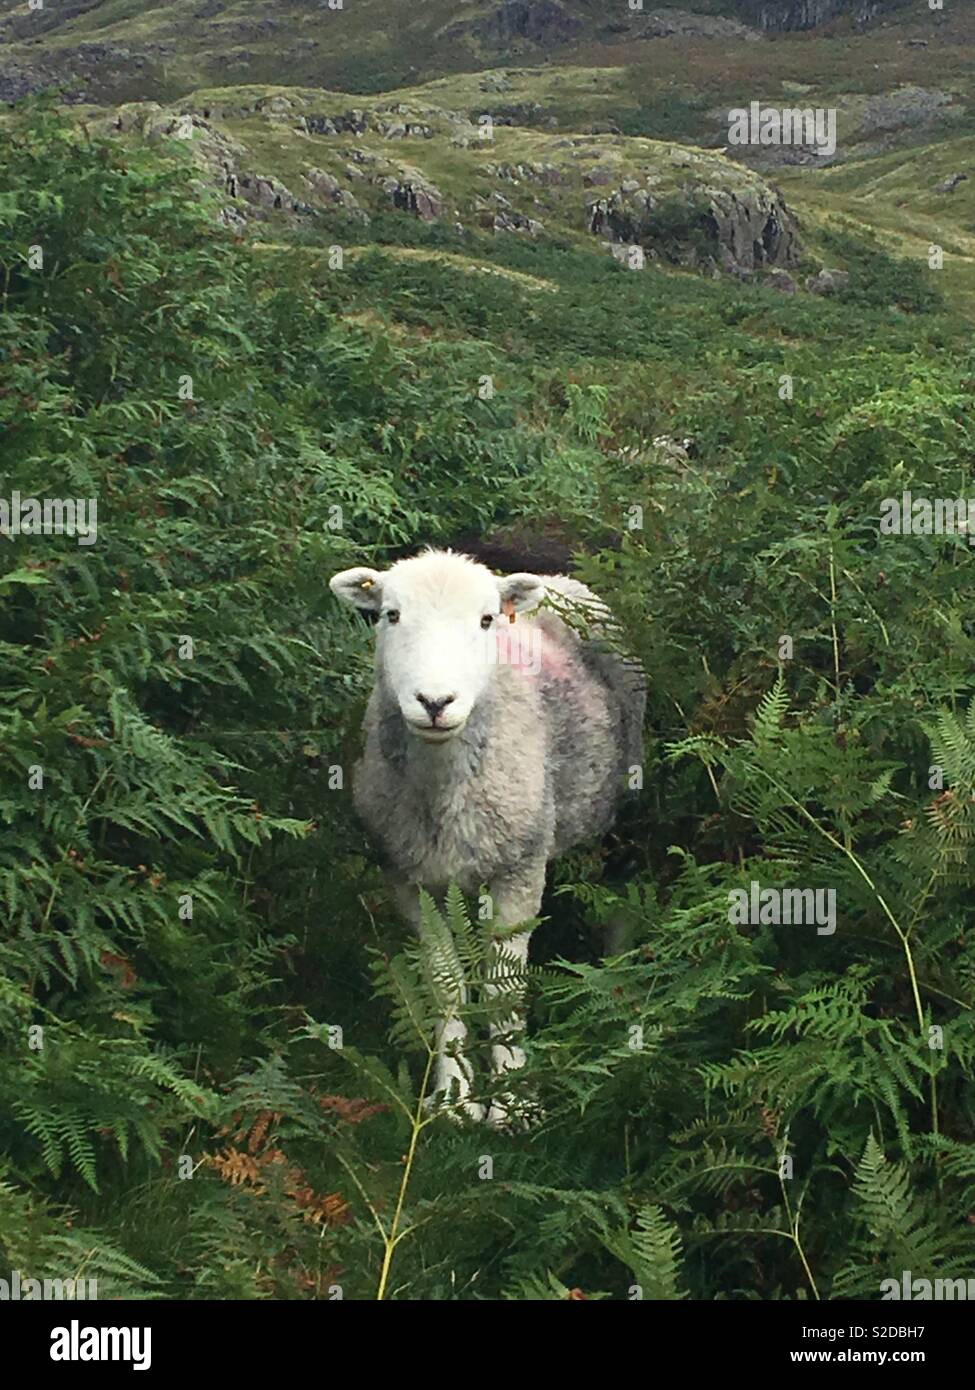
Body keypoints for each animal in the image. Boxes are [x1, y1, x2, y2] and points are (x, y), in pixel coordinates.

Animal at [330, 549, 645, 1125]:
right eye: (390, 615)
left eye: (485, 620)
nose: (435, 701)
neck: (442, 788)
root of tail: (561, 581)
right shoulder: (409, 880)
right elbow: (444, 982)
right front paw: (454, 1097)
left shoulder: (520, 868)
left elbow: (503, 985)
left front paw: (514, 1103)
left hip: (617, 808)